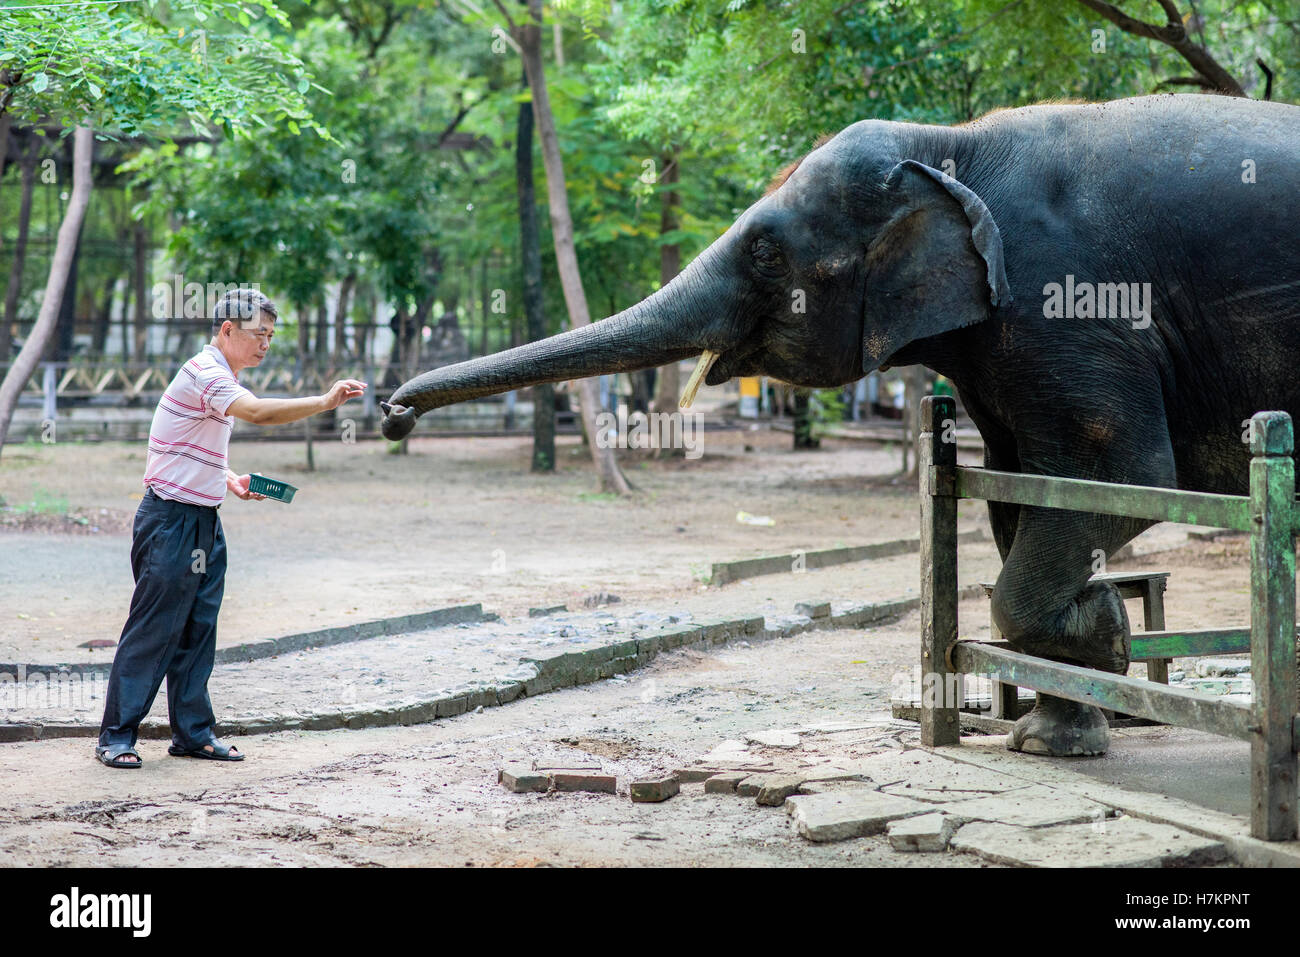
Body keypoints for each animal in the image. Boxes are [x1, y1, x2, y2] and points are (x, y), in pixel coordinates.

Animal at [381, 93, 1300, 757]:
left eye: (763, 251)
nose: (392, 413)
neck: (949, 140)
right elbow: (1021, 491)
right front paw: (1077, 690)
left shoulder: (1073, 301)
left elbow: (1126, 477)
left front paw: (1097, 647)